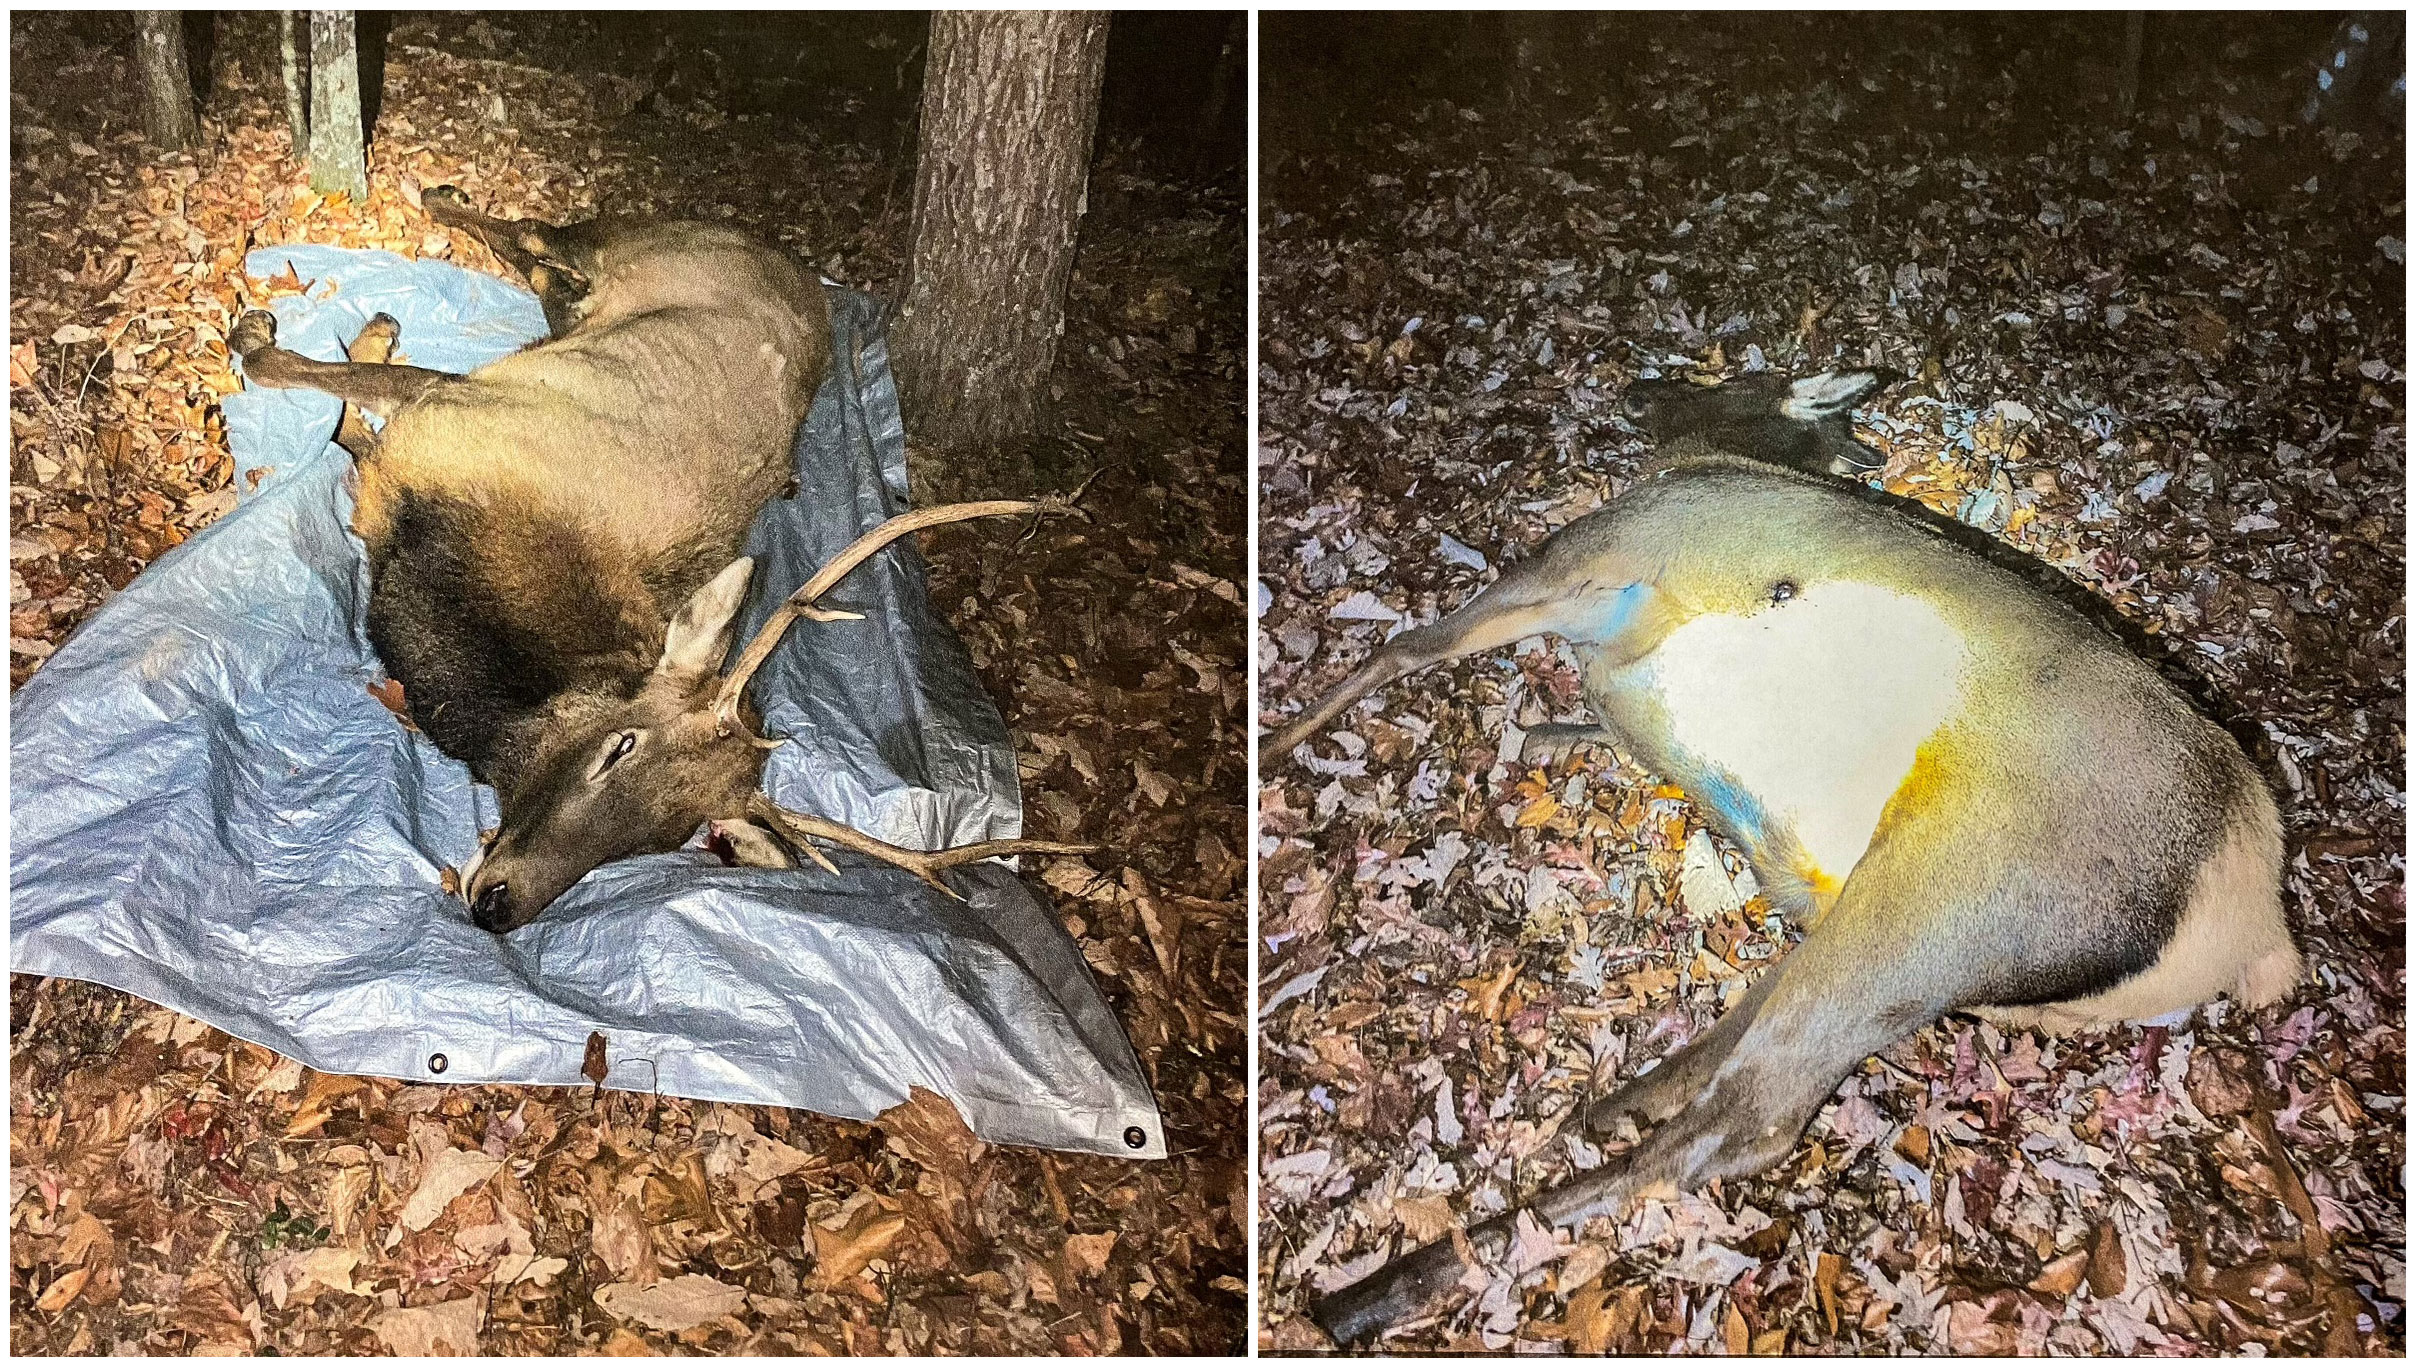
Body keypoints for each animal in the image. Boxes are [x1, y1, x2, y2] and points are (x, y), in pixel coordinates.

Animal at [231, 186, 1087, 932]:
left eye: (664, 837)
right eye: (621, 745)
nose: (499, 903)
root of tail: (790, 263)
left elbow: (349, 426)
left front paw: (346, 341)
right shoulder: (451, 412)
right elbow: (316, 383)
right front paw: (262, 331)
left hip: (584, 301)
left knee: (541, 266)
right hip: (625, 242)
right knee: (537, 230)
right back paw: (434, 200)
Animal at [1266, 371, 2301, 1343]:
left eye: (1736, 382)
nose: (1640, 385)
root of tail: (2251, 921)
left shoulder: (1591, 561)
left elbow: (1403, 650)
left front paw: (1267, 746)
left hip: (1935, 904)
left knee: (1743, 1124)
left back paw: (1377, 1290)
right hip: (1877, 927)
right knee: (1747, 1051)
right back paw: (1609, 1107)